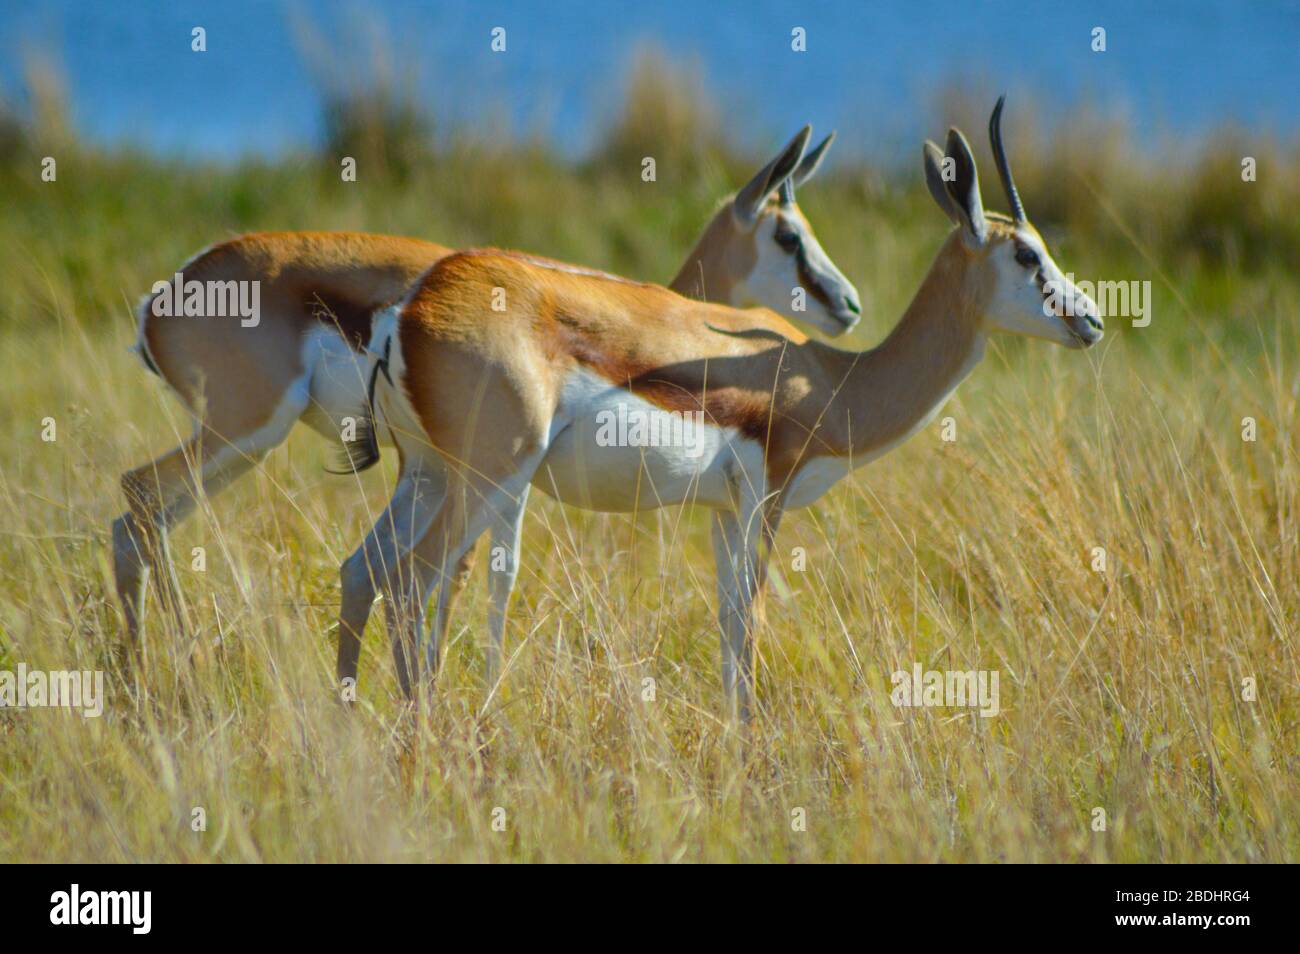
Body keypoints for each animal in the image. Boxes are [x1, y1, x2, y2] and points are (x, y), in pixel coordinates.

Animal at [113, 126, 862, 675]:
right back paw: (182, 662)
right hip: (251, 431)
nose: (849, 304)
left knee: (143, 514)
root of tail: (165, 295)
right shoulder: (502, 477)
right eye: (788, 236)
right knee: (144, 498)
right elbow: (485, 578)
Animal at [351, 99, 1104, 720]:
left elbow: (726, 627)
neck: (833, 378)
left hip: (428, 474)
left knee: (365, 571)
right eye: (1027, 253)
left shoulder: (719, 510)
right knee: (412, 582)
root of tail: (413, 307)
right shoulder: (765, 499)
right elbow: (751, 625)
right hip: (488, 478)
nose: (1093, 320)